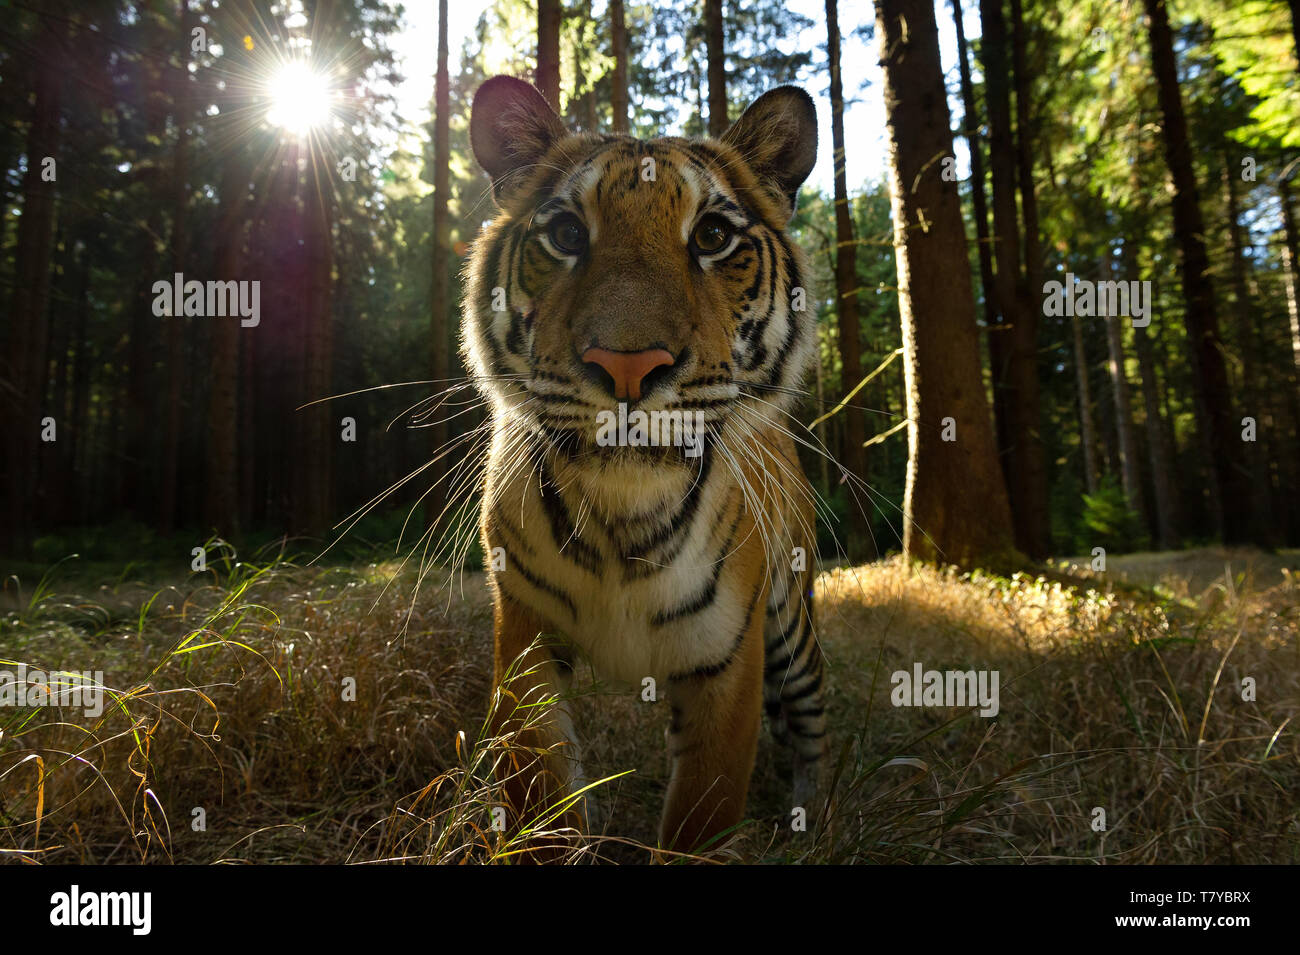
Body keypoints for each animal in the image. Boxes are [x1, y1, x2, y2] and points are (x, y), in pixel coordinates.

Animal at [462, 75, 826, 853]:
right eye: (567, 234)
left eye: (713, 236)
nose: (628, 365)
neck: (622, 517)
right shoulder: (524, 635)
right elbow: (542, 796)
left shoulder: (729, 658)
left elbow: (701, 815)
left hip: (793, 628)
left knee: (812, 730)